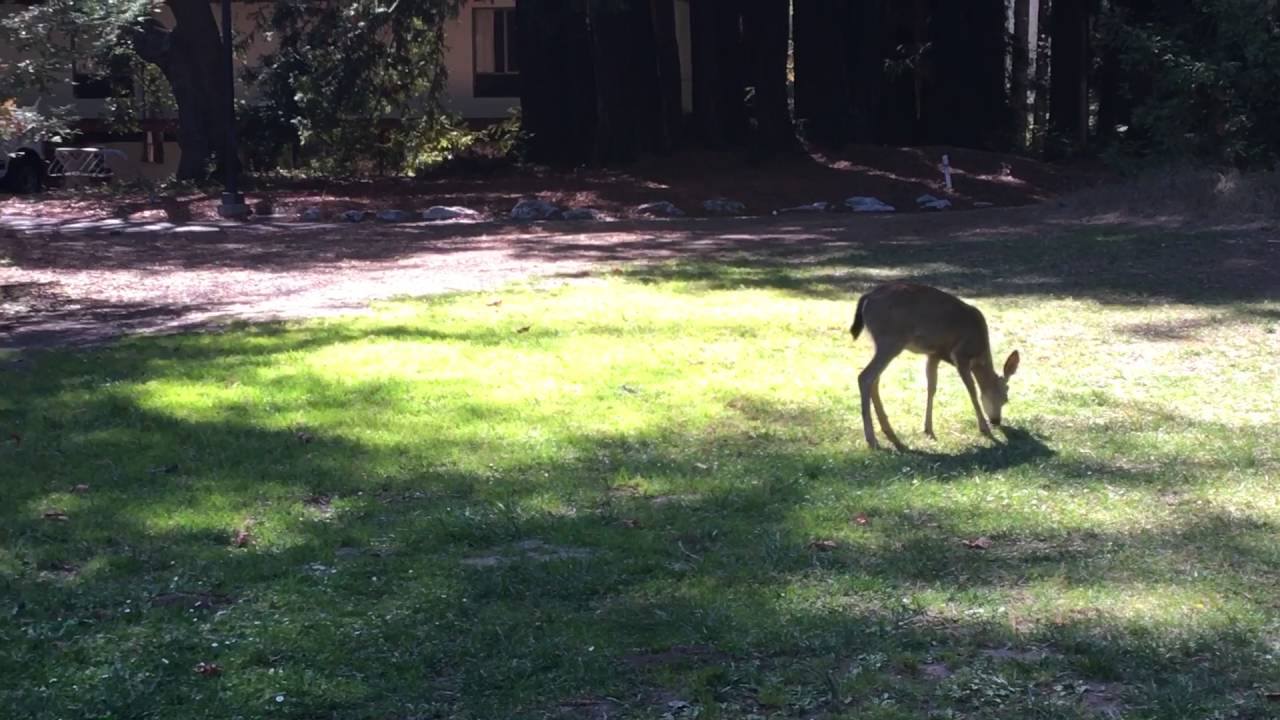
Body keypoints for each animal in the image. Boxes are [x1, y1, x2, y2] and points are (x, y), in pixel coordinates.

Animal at [850, 283, 1020, 451]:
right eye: (1005, 398)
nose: (996, 420)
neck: (979, 354)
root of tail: (867, 297)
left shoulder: (934, 354)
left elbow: (931, 388)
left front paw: (929, 430)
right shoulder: (961, 355)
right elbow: (971, 390)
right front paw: (984, 428)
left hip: (881, 343)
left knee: (875, 380)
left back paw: (889, 433)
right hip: (891, 340)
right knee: (865, 377)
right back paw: (872, 439)